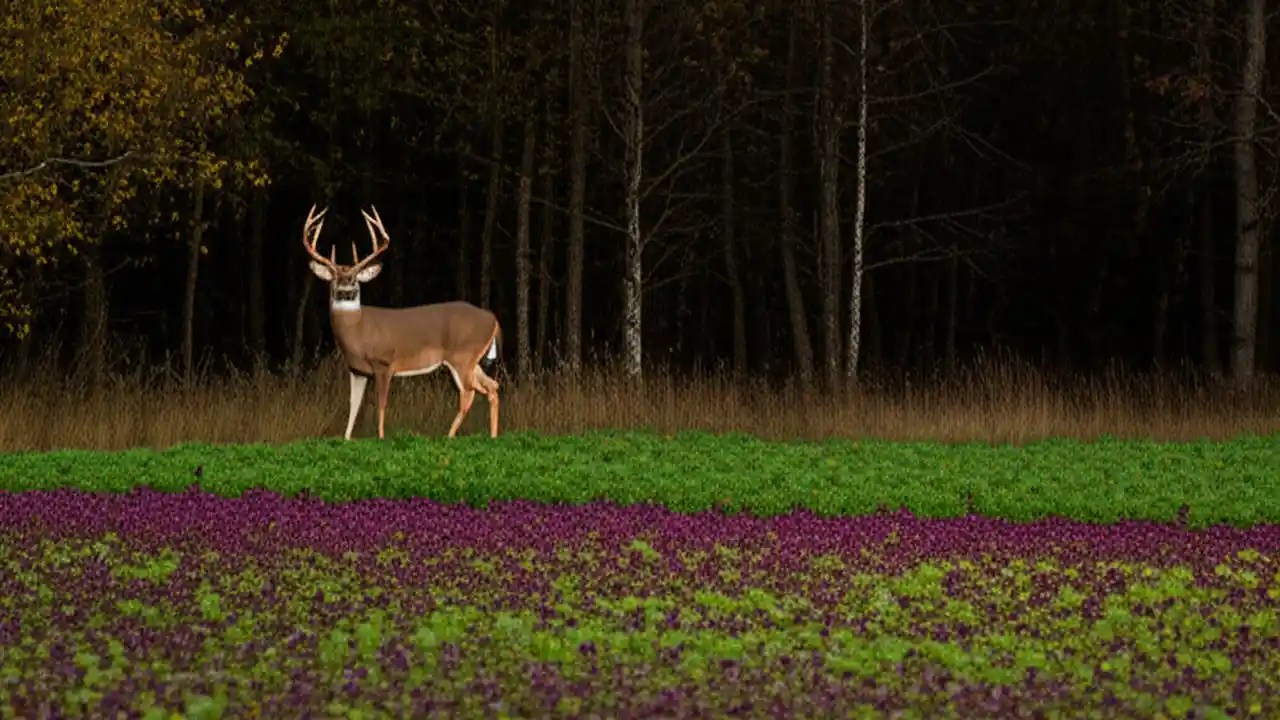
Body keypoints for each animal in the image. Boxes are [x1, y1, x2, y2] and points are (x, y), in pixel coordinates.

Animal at [301, 204, 502, 440]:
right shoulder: (356, 369)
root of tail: (493, 319)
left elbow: (381, 404)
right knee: (492, 386)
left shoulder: (384, 363)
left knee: (468, 393)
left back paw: (449, 435)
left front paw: (381, 437)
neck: (358, 332)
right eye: (333, 280)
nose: (345, 290)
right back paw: (492, 436)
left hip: (462, 356)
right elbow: (353, 406)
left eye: (355, 280)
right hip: (473, 360)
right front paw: (347, 439)